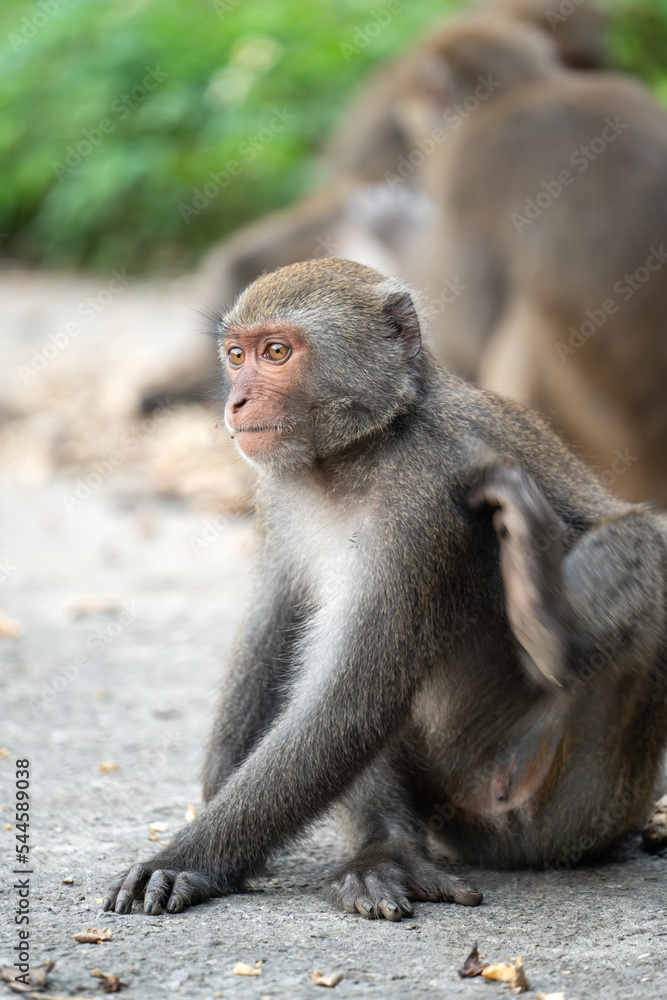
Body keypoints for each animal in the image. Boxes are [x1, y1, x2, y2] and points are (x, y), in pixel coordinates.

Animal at [103, 259, 667, 919]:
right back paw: (385, 853)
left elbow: (352, 696)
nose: (235, 401)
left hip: (582, 800)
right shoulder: (277, 488)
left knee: (645, 545)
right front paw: (217, 790)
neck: (357, 452)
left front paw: (186, 859)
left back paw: (551, 625)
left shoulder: (427, 496)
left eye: (276, 352)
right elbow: (278, 617)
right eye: (236, 355)